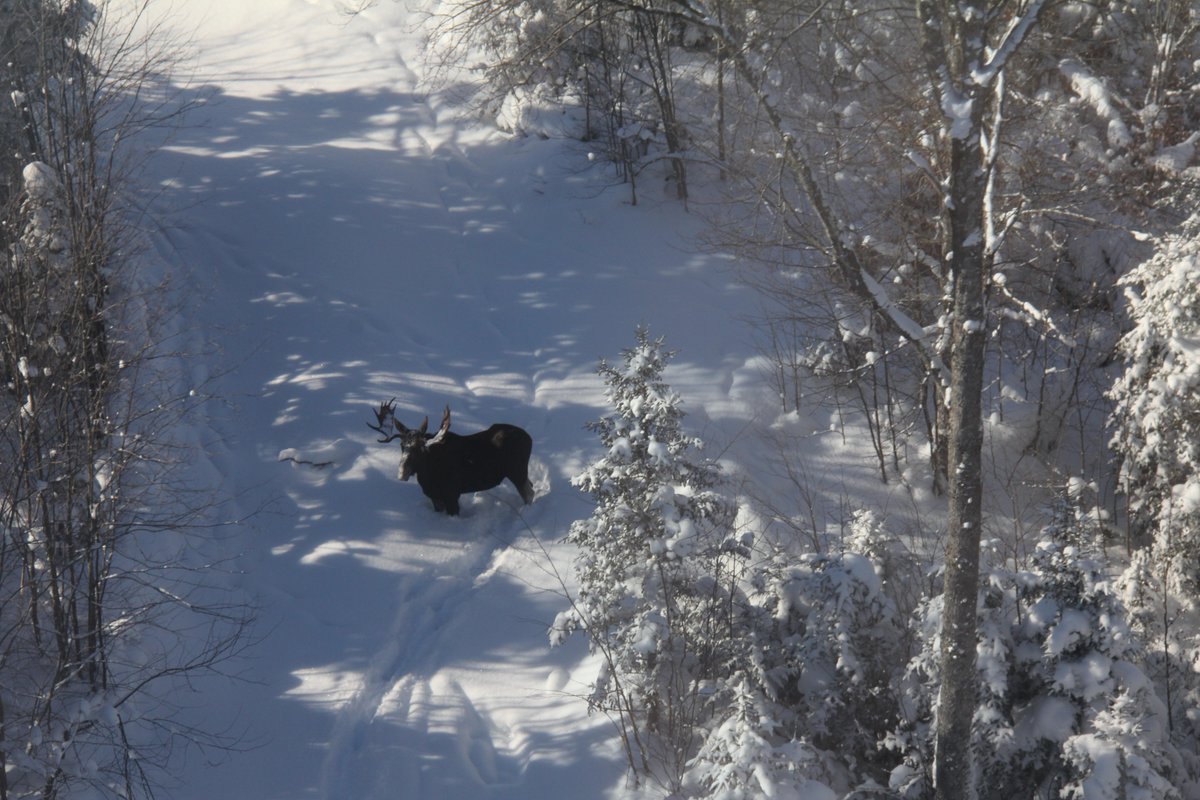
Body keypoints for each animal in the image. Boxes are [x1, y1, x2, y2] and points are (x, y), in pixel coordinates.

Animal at [368, 399, 534, 516]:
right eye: (402, 445)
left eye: (421, 447)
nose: (402, 472)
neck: (427, 474)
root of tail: (529, 438)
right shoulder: (435, 497)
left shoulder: (452, 495)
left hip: (517, 471)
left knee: (529, 493)